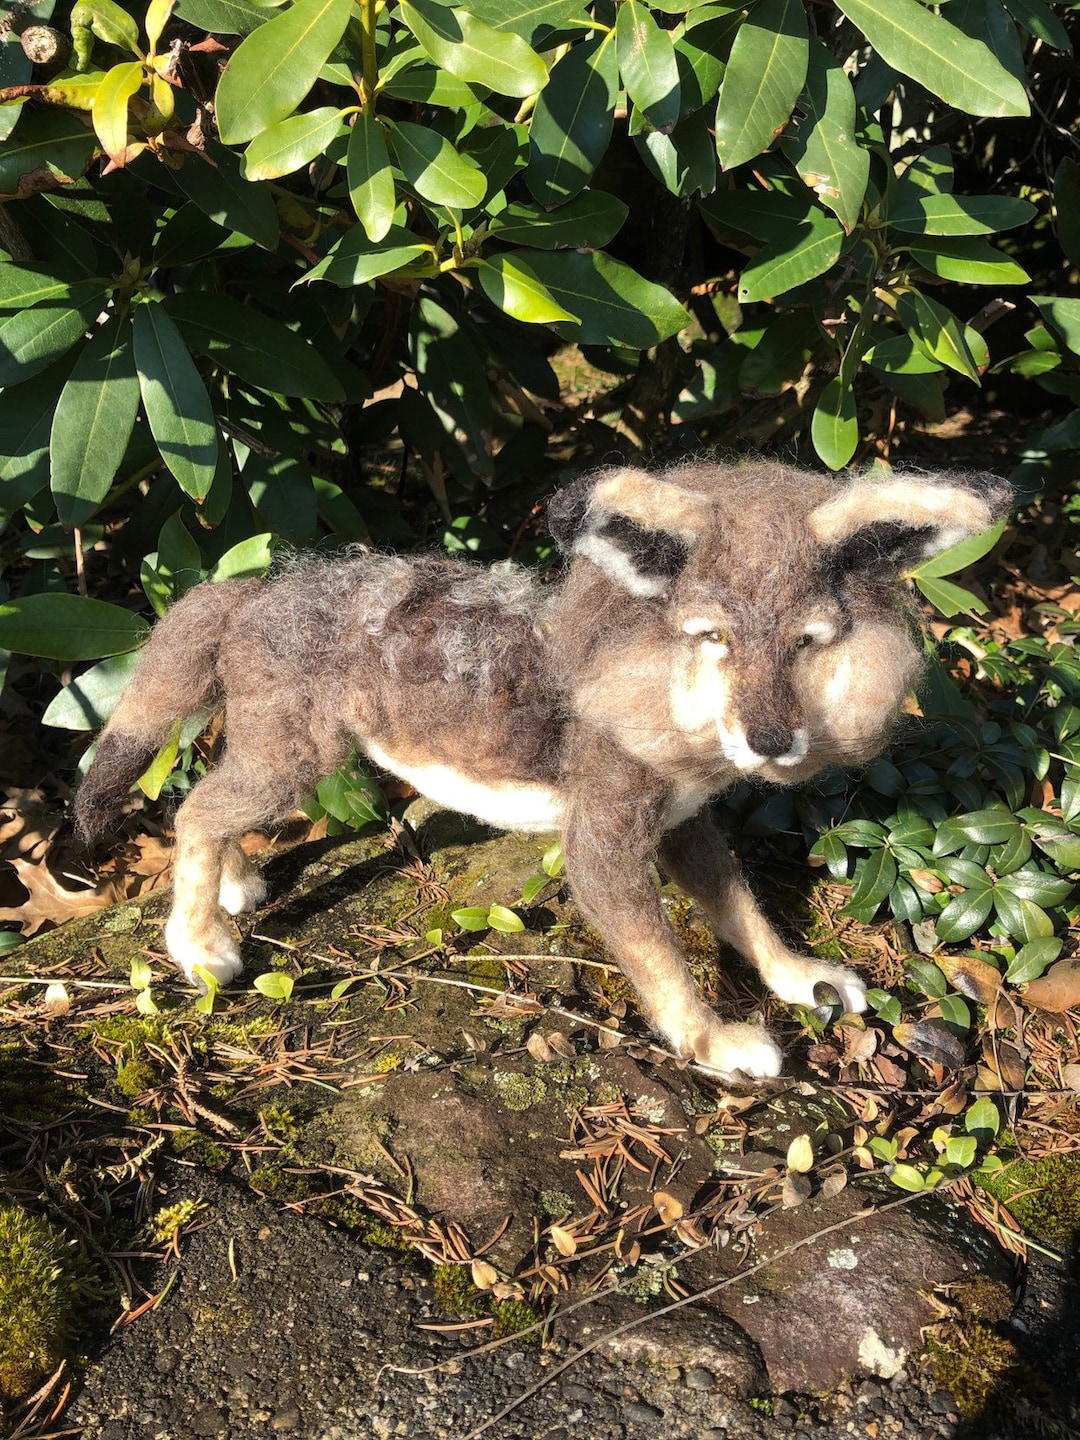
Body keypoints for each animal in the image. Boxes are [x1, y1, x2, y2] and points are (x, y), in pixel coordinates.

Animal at [75, 461, 1008, 1078]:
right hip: (295, 763)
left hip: (275, 759)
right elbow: (663, 964)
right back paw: (199, 944)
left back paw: (233, 890)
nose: (773, 742)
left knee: (212, 806)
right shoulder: (604, 848)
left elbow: (745, 916)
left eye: (809, 643)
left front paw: (797, 978)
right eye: (713, 636)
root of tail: (251, 589)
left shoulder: (684, 828)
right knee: (193, 812)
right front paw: (714, 1042)